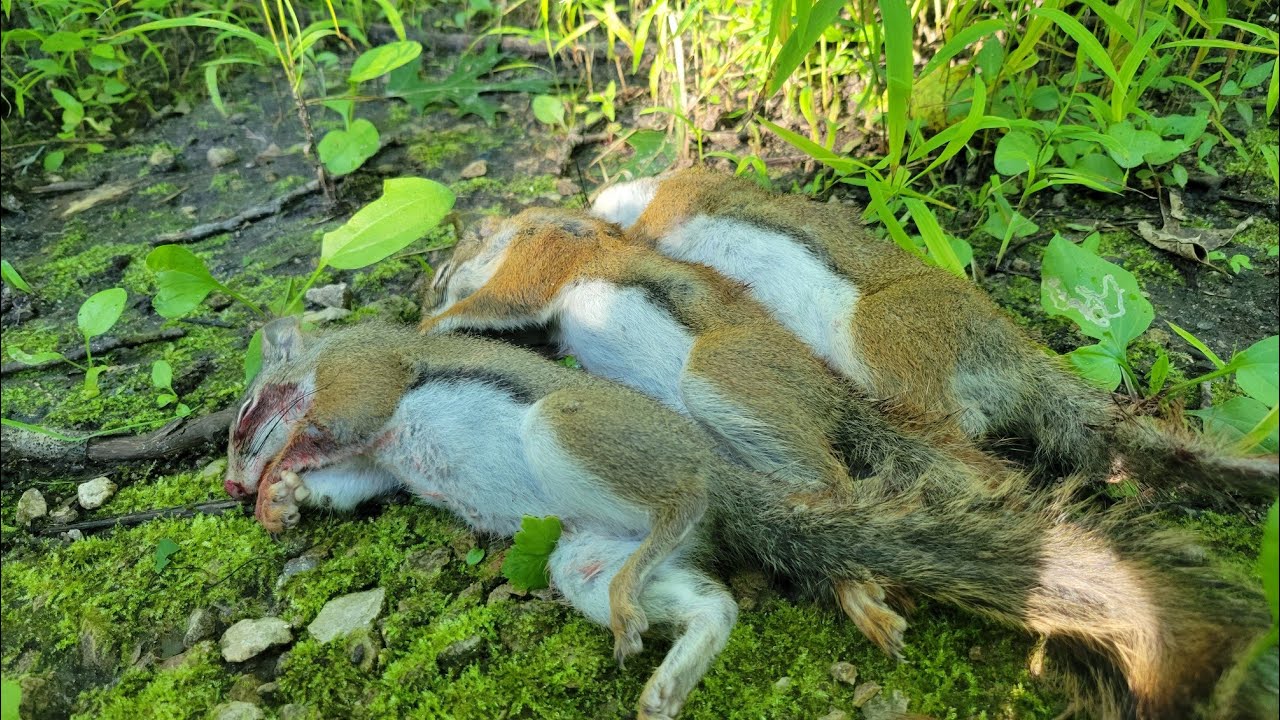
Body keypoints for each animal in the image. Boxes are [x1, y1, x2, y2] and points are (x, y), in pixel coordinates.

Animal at [226, 319, 1276, 720]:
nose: (232, 487)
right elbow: (353, 482)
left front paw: (281, 469)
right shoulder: (371, 458)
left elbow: (337, 418)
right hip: (581, 562)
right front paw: (288, 500)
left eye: (241, 412)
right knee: (712, 604)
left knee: (677, 504)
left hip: (579, 434)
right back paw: (666, 673)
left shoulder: (363, 379)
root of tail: (737, 490)